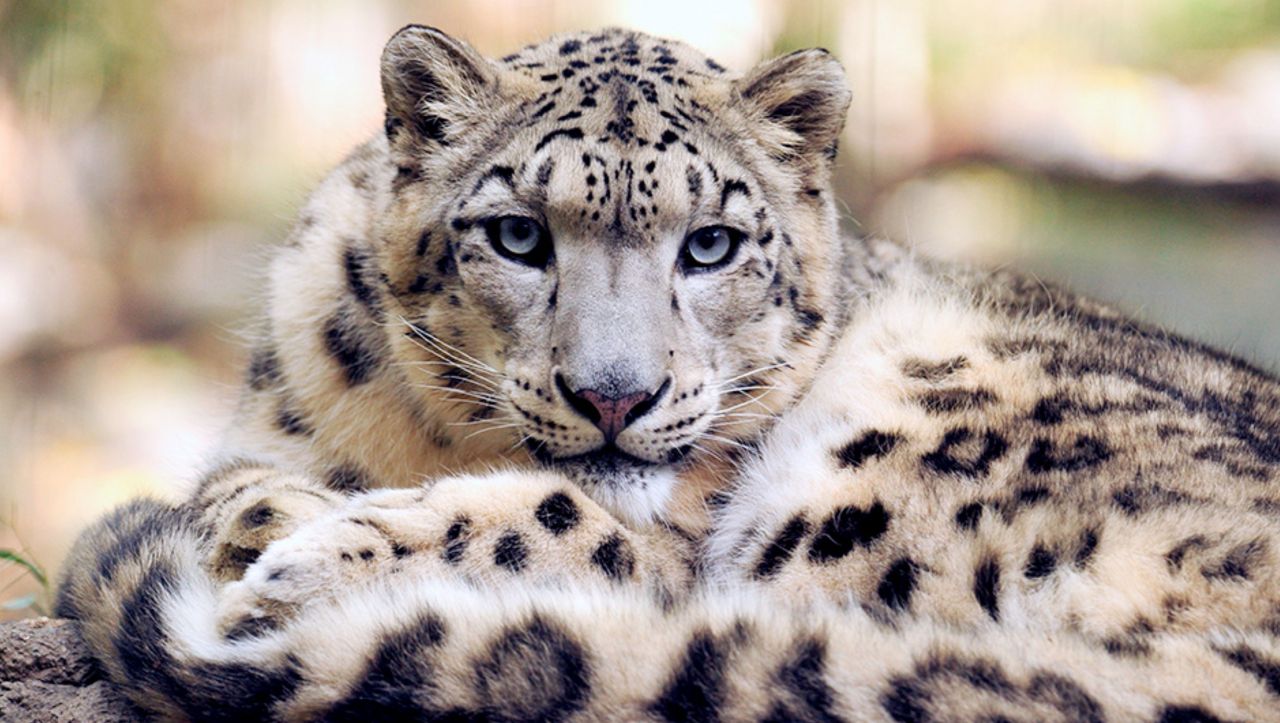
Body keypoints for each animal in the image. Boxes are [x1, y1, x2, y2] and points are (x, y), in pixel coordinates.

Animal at [51, 25, 1280, 722]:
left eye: (711, 244)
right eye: (516, 234)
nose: (614, 395)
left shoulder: (674, 544)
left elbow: (556, 520)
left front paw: (306, 561)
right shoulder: (266, 420)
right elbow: (237, 482)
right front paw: (275, 521)